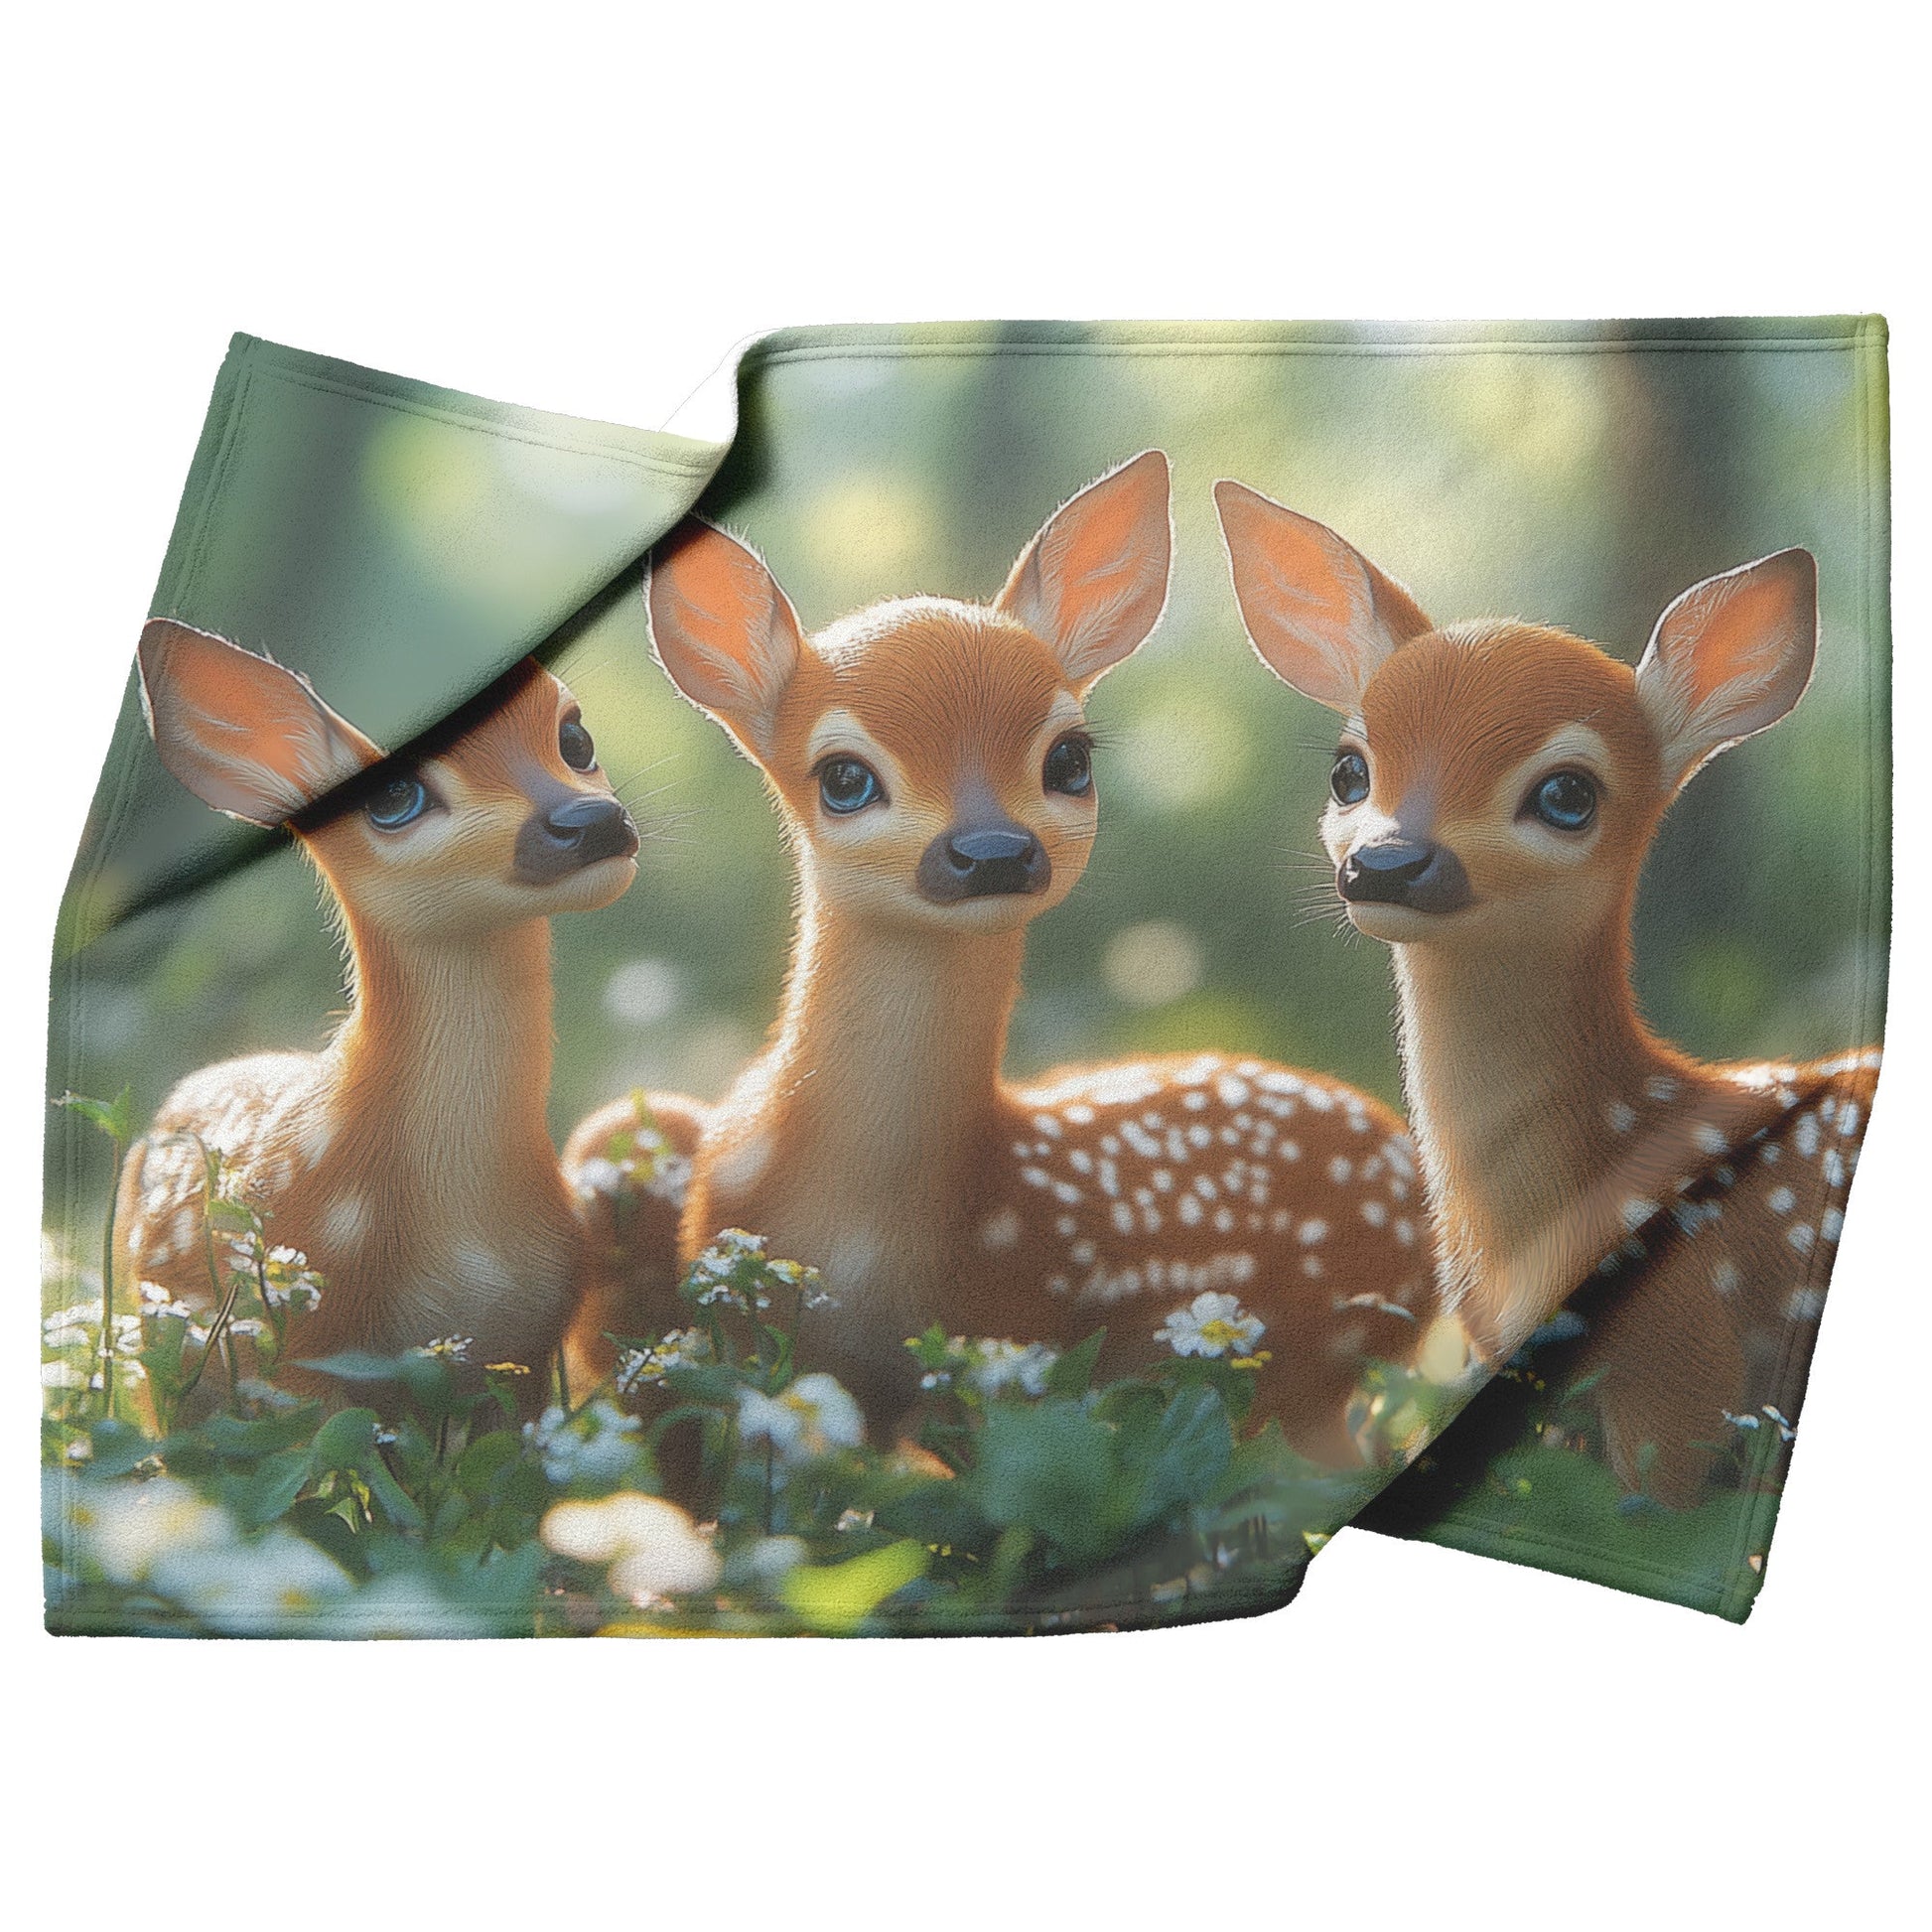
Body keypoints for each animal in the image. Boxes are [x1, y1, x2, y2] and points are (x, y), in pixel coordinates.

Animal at [567, 451, 1448, 1463]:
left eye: (1069, 759)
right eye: (843, 777)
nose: (991, 850)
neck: (877, 1231)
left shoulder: (1007, 1334)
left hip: (1310, 1370)